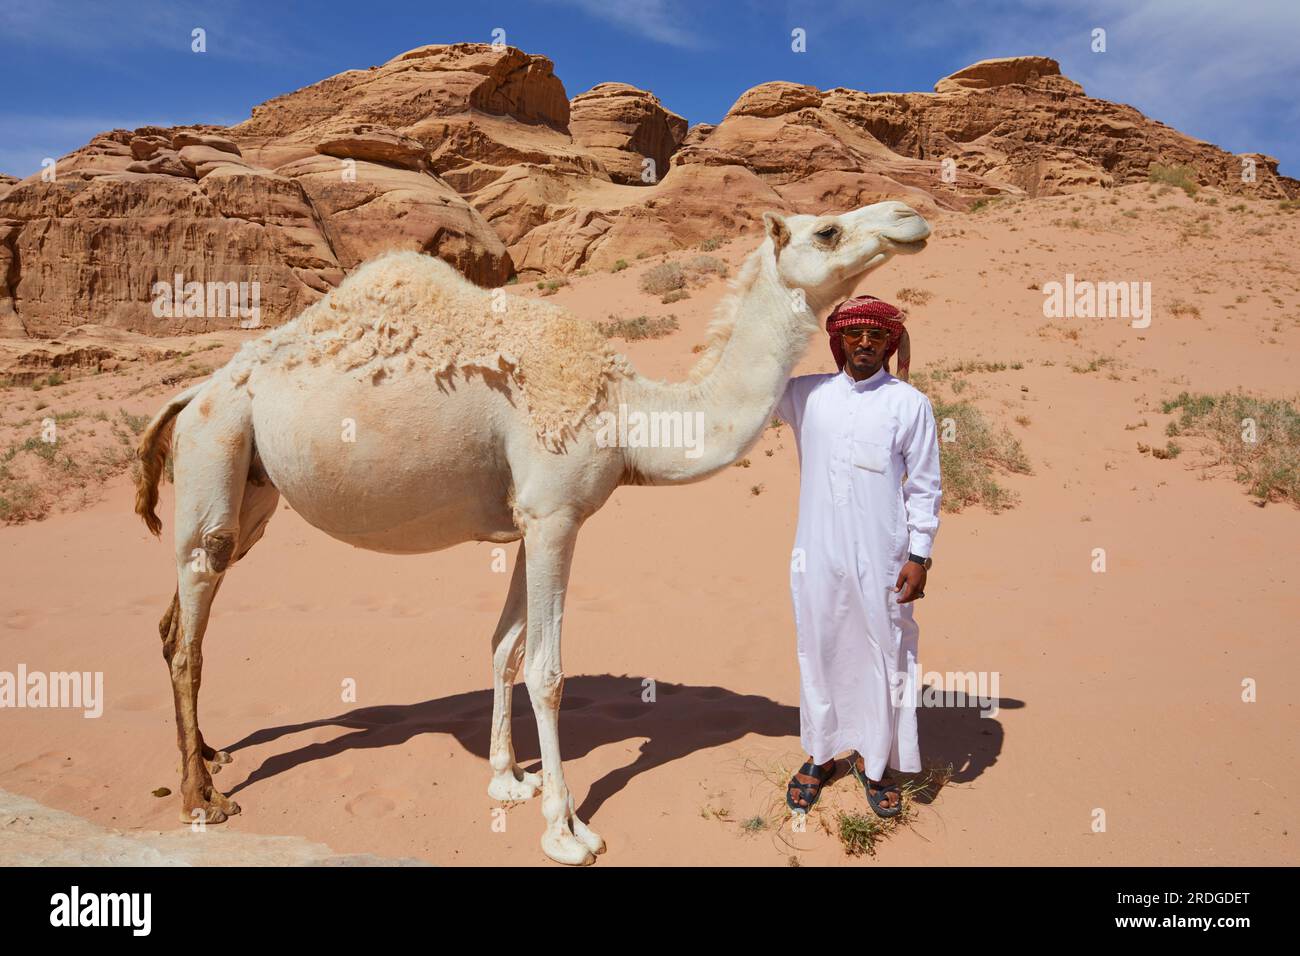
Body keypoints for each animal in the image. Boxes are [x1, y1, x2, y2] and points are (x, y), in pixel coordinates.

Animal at [133, 200, 931, 865]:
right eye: (826, 229)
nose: (909, 216)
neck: (629, 413)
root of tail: (194, 391)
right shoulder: (556, 514)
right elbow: (547, 670)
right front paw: (565, 827)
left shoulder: (529, 518)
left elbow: (504, 648)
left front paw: (508, 780)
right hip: (215, 445)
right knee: (193, 623)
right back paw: (203, 798)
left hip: (252, 486)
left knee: (176, 622)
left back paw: (211, 754)